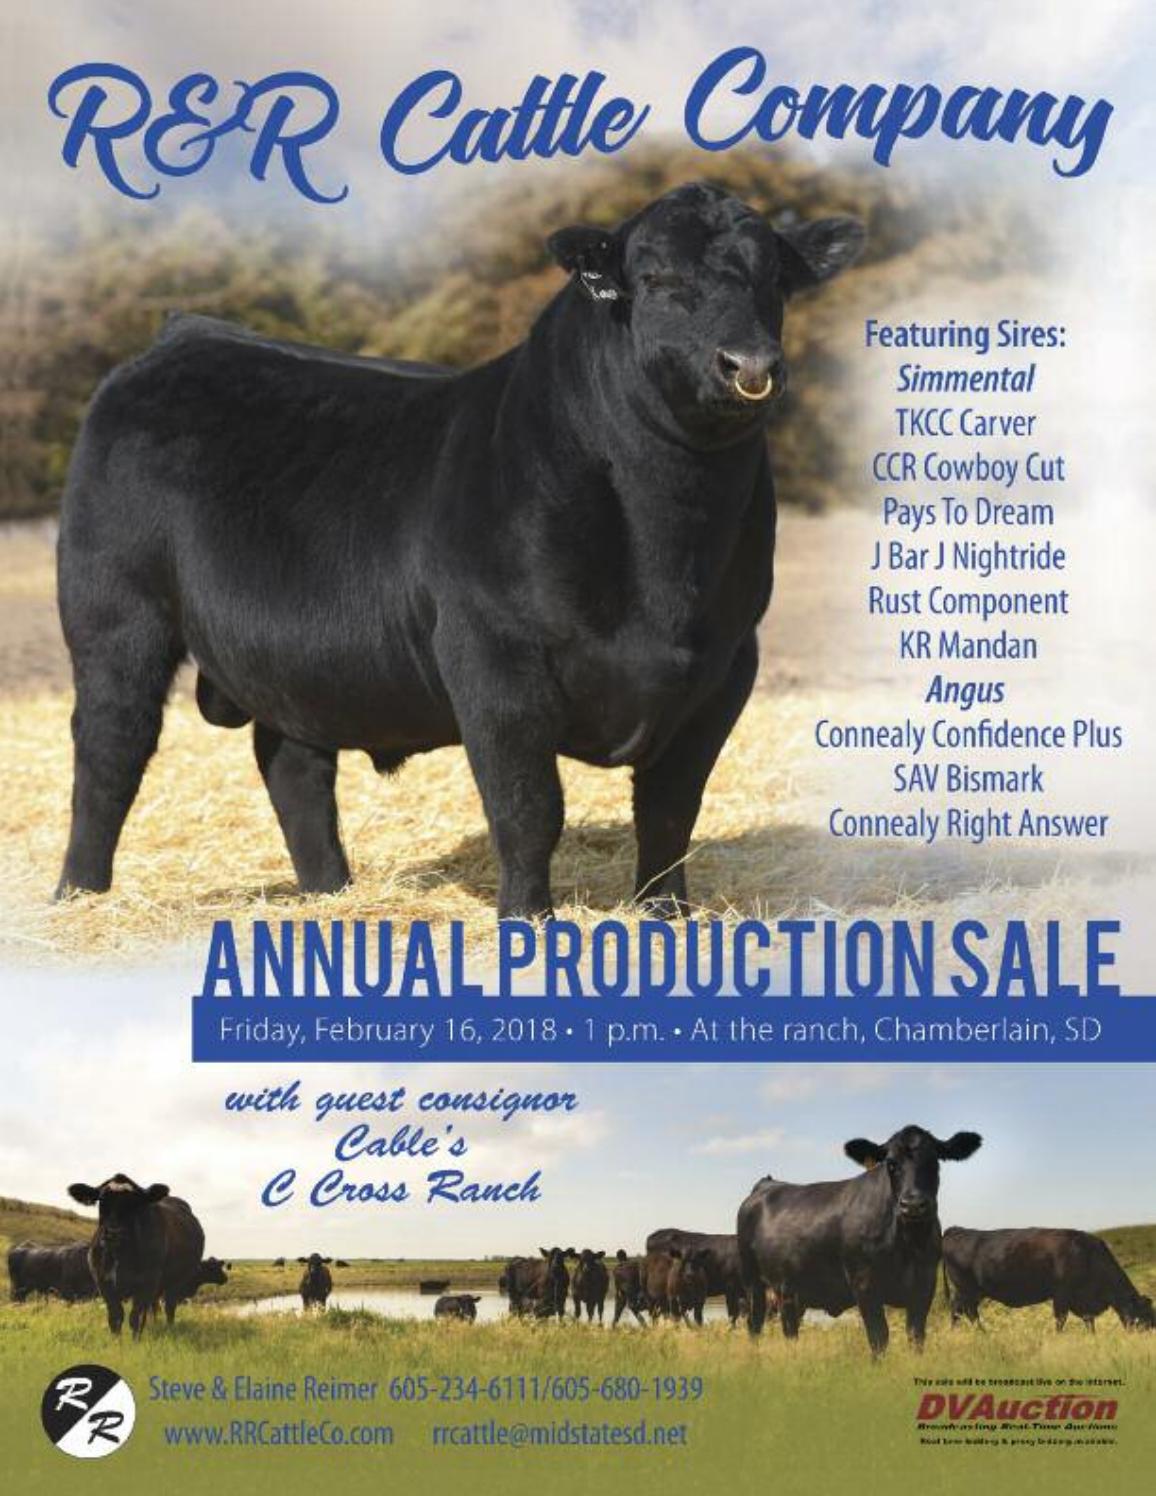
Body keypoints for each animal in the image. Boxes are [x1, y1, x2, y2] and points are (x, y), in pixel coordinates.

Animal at [53, 183, 863, 918]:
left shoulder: (725, 663)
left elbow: (671, 810)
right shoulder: (492, 653)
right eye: (659, 278)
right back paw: (78, 895)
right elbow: (529, 808)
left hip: (289, 659)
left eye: (775, 279)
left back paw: (329, 892)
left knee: (292, 763)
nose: (748, 363)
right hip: (115, 614)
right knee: (110, 748)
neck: (665, 557)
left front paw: (665, 915)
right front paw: (526, 921)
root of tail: (191, 333)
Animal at [67, 1175, 205, 1336]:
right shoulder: (104, 1283)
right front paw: (117, 1341)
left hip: (178, 1280)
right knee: (154, 1306)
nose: (114, 1233)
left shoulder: (147, 1282)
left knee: (169, 1306)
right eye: (102, 1199)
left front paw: (136, 1339)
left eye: (134, 1203)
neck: (120, 1254)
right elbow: (115, 1317)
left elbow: (135, 1318)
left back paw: (169, 1328)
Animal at [737, 1125, 983, 1357]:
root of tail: (766, 1184)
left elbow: (916, 1337)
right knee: (754, 1325)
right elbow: (879, 1337)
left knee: (789, 1328)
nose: (913, 1205)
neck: (908, 1244)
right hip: (753, 1282)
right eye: (891, 1164)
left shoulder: (924, 1283)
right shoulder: (864, 1283)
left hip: (791, 1290)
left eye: (934, 1161)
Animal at [943, 1227, 1156, 1333]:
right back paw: (982, 1334)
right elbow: (1061, 1320)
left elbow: (1089, 1321)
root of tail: (955, 1230)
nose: (1149, 1334)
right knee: (965, 1313)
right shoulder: (1062, 1295)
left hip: (971, 1292)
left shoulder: (1082, 1301)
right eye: (1145, 1316)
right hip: (966, 1290)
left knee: (960, 1312)